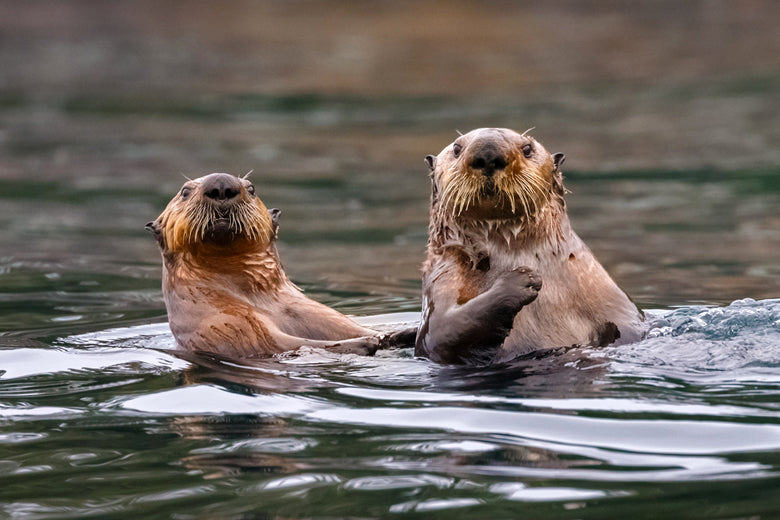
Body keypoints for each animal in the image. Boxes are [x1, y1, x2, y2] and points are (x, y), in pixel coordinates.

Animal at [146, 172, 411, 359]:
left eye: (251, 188)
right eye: (184, 191)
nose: (221, 185)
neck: (259, 301)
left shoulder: (315, 313)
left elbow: (354, 328)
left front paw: (398, 334)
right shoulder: (225, 327)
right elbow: (281, 344)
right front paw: (367, 343)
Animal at [415, 128, 645, 364]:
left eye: (527, 148)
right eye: (456, 148)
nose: (488, 154)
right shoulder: (441, 277)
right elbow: (441, 332)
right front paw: (522, 279)